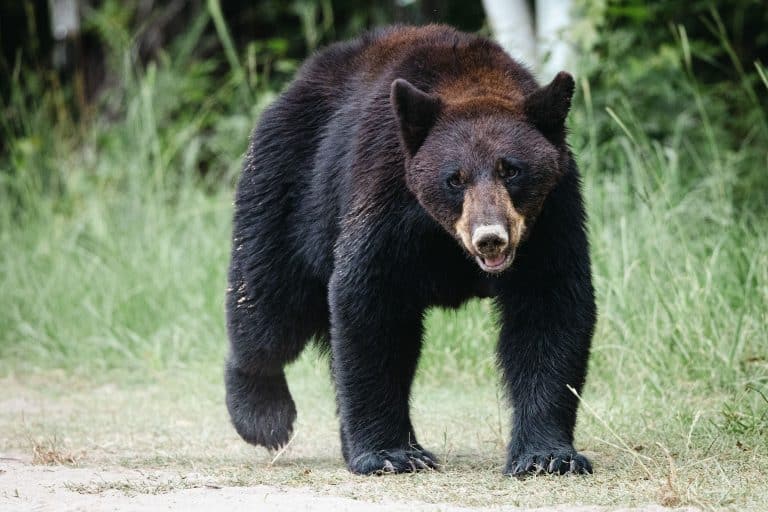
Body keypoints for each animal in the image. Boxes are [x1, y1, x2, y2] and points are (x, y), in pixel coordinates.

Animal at [224, 24, 596, 476]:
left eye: (511, 169)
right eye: (455, 178)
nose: (490, 237)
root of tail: (301, 77)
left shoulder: (551, 218)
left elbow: (550, 307)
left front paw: (548, 455)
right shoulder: (387, 196)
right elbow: (371, 303)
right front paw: (392, 453)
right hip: (289, 189)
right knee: (269, 305)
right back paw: (263, 416)